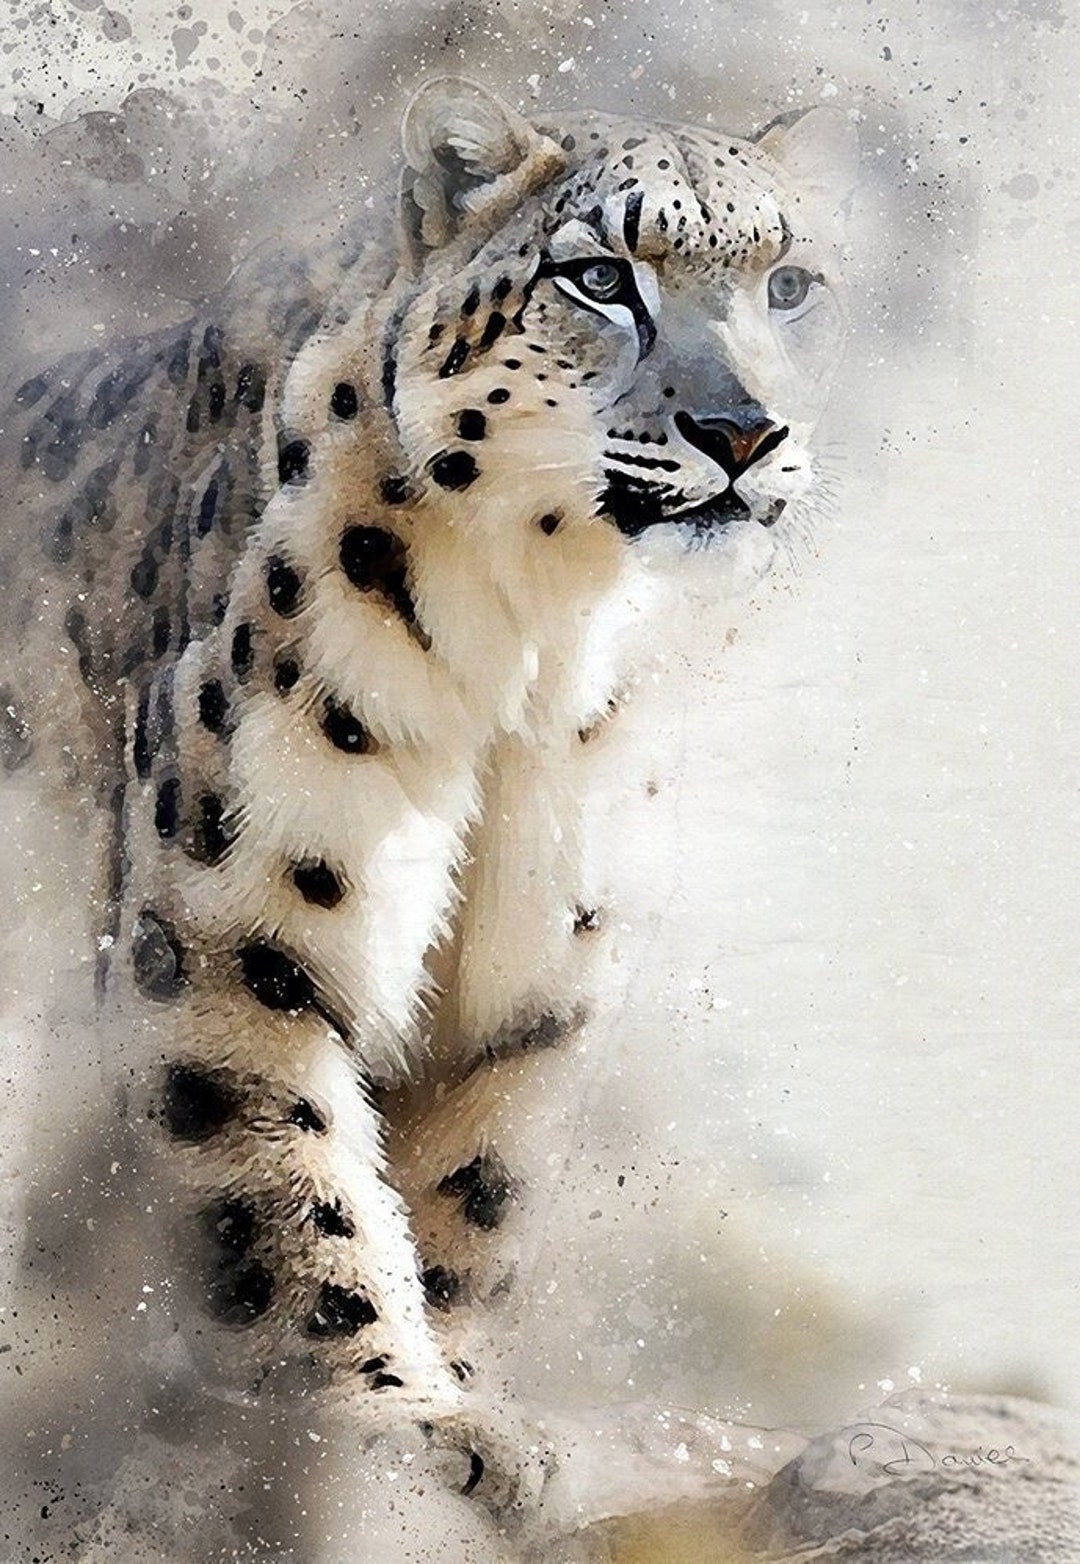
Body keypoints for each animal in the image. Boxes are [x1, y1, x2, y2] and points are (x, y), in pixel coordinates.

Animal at [0, 76, 856, 1554]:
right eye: (599, 276)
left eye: (786, 282)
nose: (744, 433)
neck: (533, 643)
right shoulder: (235, 918)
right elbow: (293, 1185)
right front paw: (387, 1423)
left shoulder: (528, 972)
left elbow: (461, 1193)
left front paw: (467, 1422)